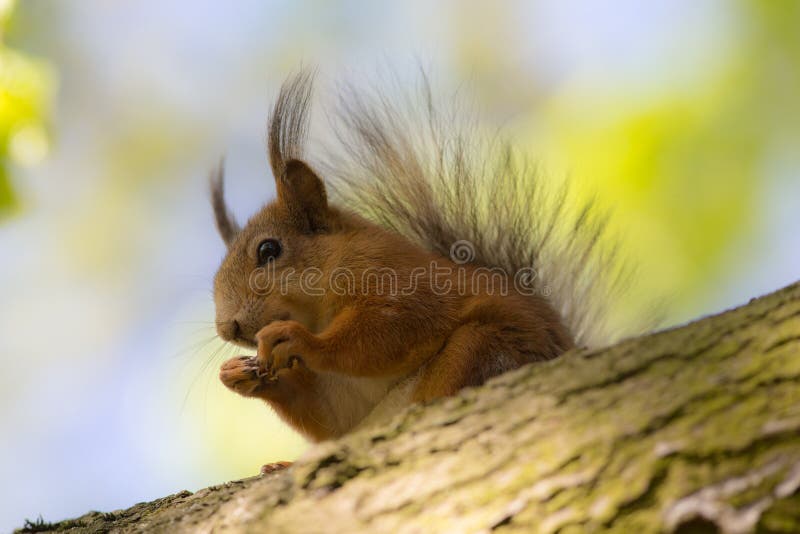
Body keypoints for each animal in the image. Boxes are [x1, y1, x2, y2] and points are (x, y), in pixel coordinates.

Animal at [211, 70, 648, 445]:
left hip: (482, 347)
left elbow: (389, 332)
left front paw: (298, 339)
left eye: (268, 250)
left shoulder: (402, 281)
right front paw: (240, 375)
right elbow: (334, 415)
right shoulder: (343, 391)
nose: (228, 328)